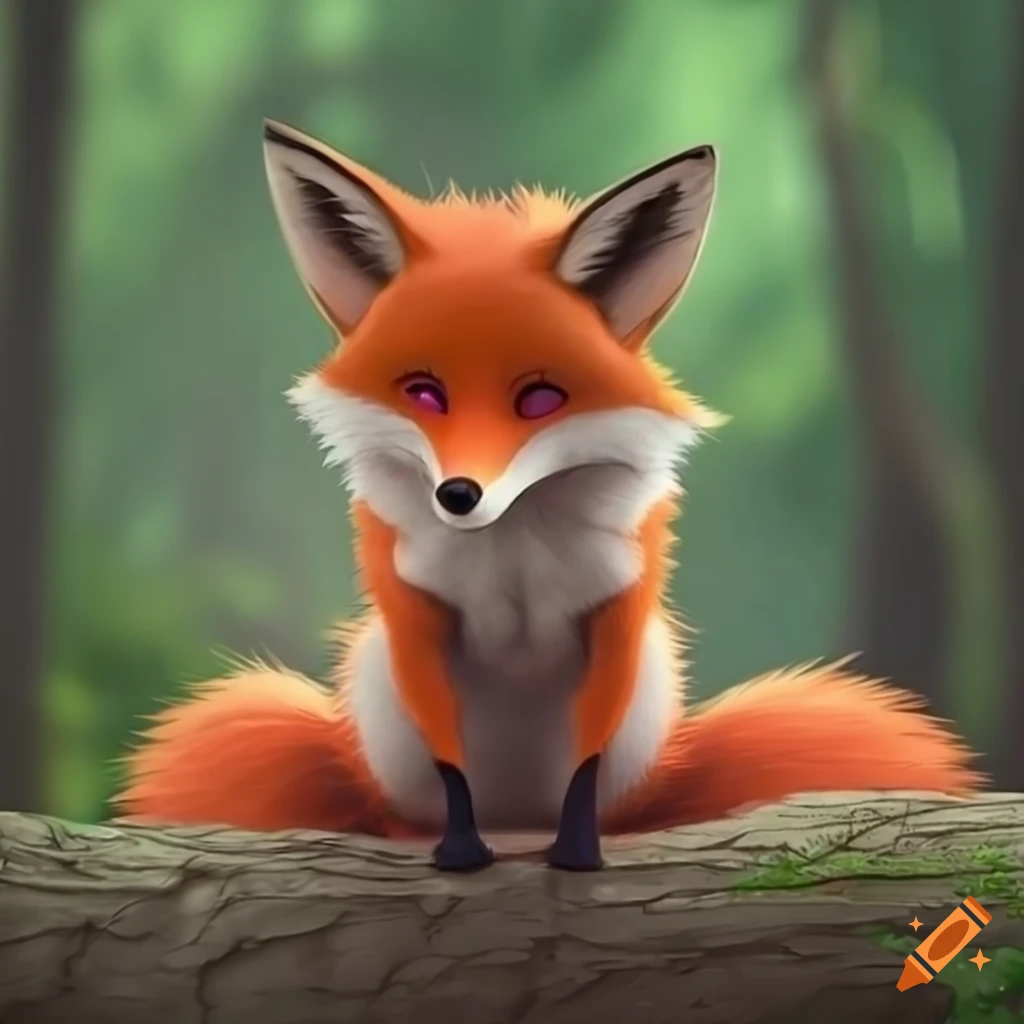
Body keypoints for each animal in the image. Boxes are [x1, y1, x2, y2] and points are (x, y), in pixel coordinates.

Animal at [115, 120, 984, 872]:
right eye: (423, 392)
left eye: (539, 399)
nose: (459, 494)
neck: (514, 556)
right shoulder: (414, 618)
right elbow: (451, 765)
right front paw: (459, 853)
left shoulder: (618, 616)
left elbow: (585, 767)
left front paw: (578, 855)